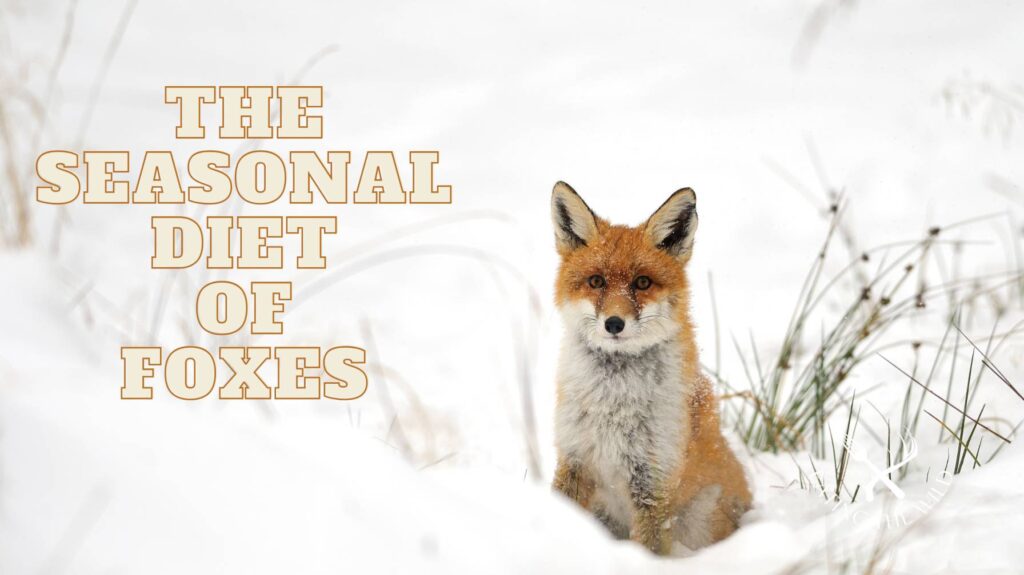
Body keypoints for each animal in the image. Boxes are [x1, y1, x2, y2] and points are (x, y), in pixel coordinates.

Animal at [549, 181, 751, 555]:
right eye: (596, 281)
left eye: (642, 283)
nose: (614, 324)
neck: (613, 404)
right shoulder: (573, 457)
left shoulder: (653, 481)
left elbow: (650, 547)